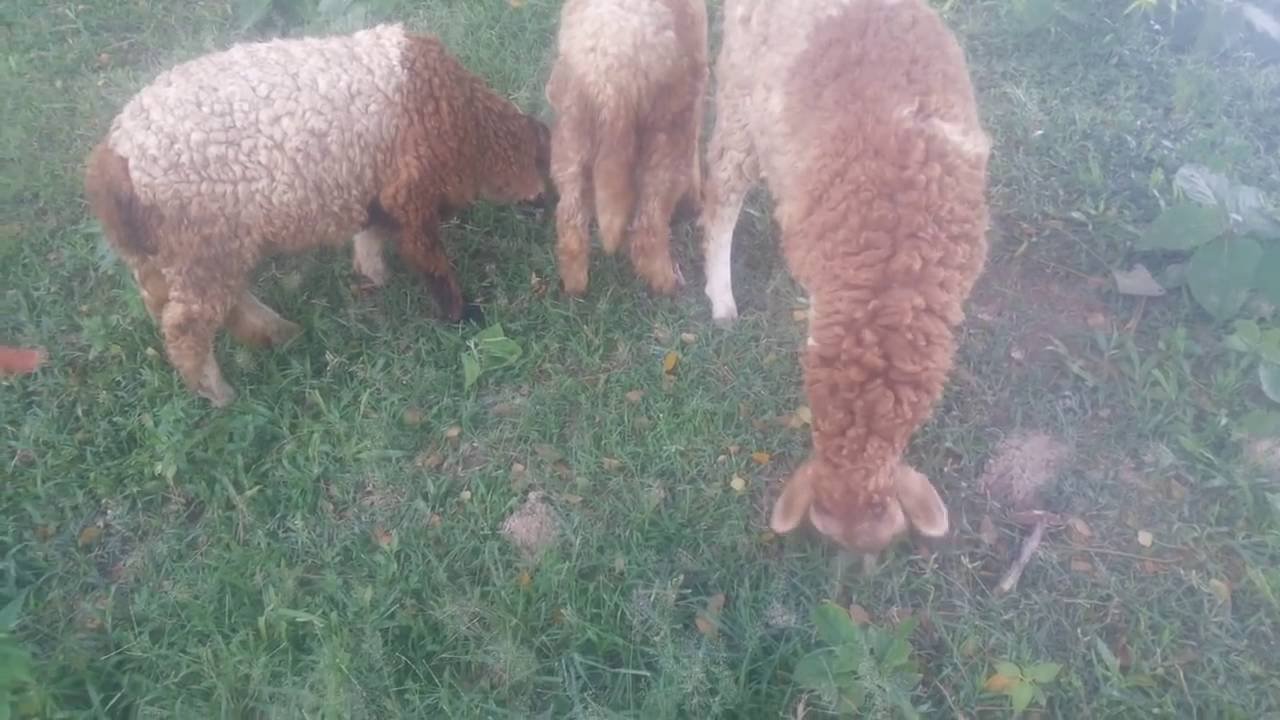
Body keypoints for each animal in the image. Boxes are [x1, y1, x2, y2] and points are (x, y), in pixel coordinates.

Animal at [85, 24, 550, 407]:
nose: (548, 208)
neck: (468, 124)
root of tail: (113, 158)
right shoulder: (409, 190)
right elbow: (428, 257)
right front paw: (460, 313)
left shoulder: (376, 190)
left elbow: (372, 234)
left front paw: (373, 274)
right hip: (202, 246)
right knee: (187, 327)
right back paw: (219, 392)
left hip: (182, 254)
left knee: (215, 305)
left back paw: (279, 335)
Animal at [545, 0, 708, 297]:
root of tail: (610, 79)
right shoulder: (691, 105)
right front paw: (696, 199)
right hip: (666, 139)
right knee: (648, 230)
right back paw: (665, 283)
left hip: (570, 134)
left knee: (570, 221)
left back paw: (575, 285)